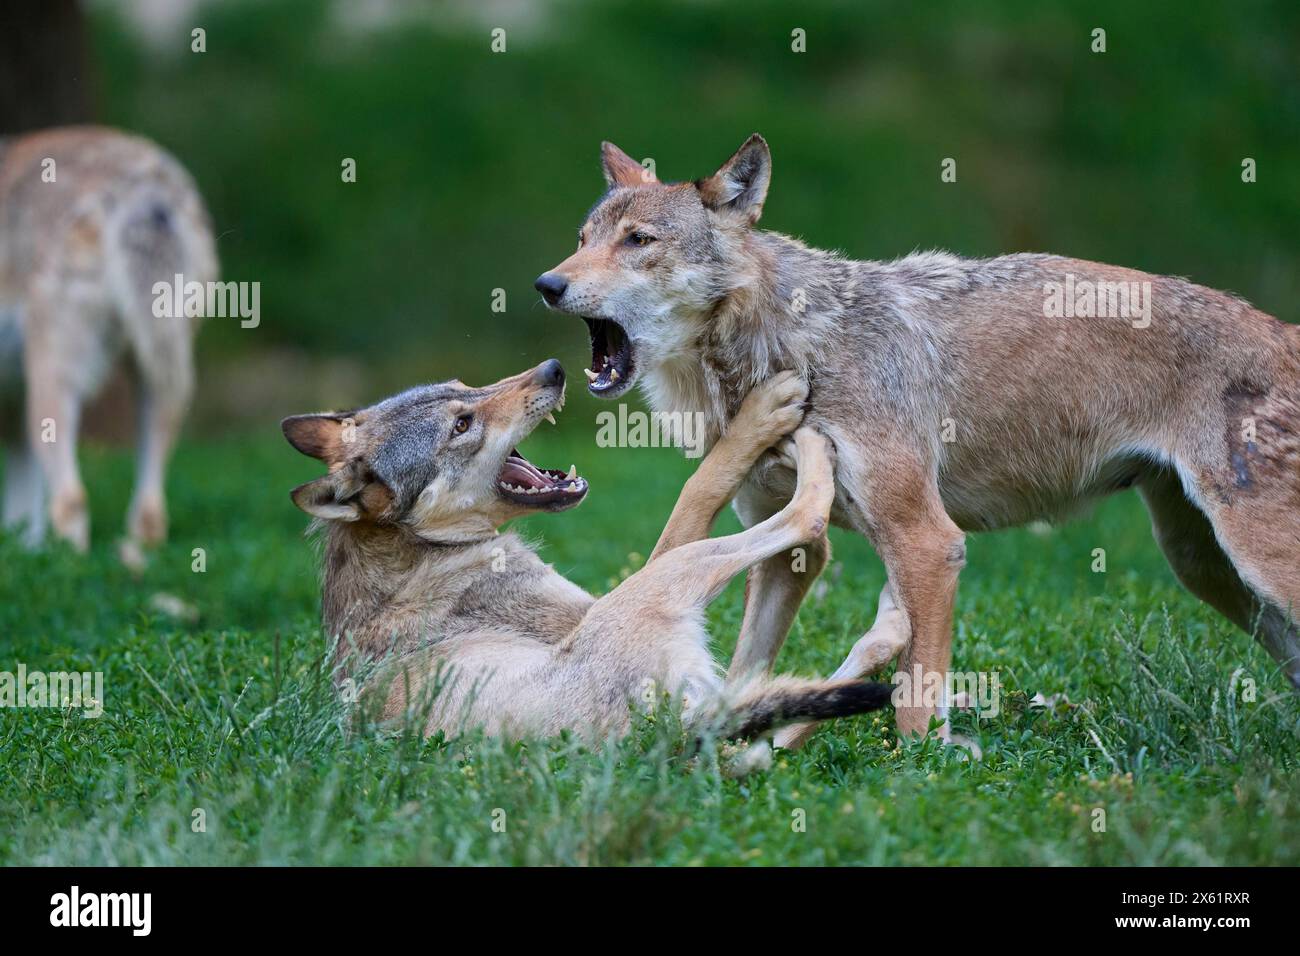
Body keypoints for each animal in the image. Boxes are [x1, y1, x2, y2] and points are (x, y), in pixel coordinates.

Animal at [0, 126, 216, 555]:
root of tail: (145, 185)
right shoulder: (12, 413)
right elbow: (22, 513)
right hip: (159, 377)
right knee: (150, 512)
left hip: (53, 383)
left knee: (71, 499)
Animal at [282, 360, 894, 747]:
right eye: (462, 424)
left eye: (466, 386)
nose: (554, 368)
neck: (426, 548)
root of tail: (670, 732)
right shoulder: (608, 593)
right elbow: (703, 481)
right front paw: (763, 413)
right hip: (656, 585)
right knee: (805, 517)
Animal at [535, 134, 1300, 744]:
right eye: (581, 241)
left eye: (639, 241)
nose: (546, 284)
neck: (790, 344)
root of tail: (1283, 330)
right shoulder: (789, 551)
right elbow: (748, 664)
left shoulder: (928, 543)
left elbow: (914, 707)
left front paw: (918, 777)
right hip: (1205, 568)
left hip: (1250, 566)